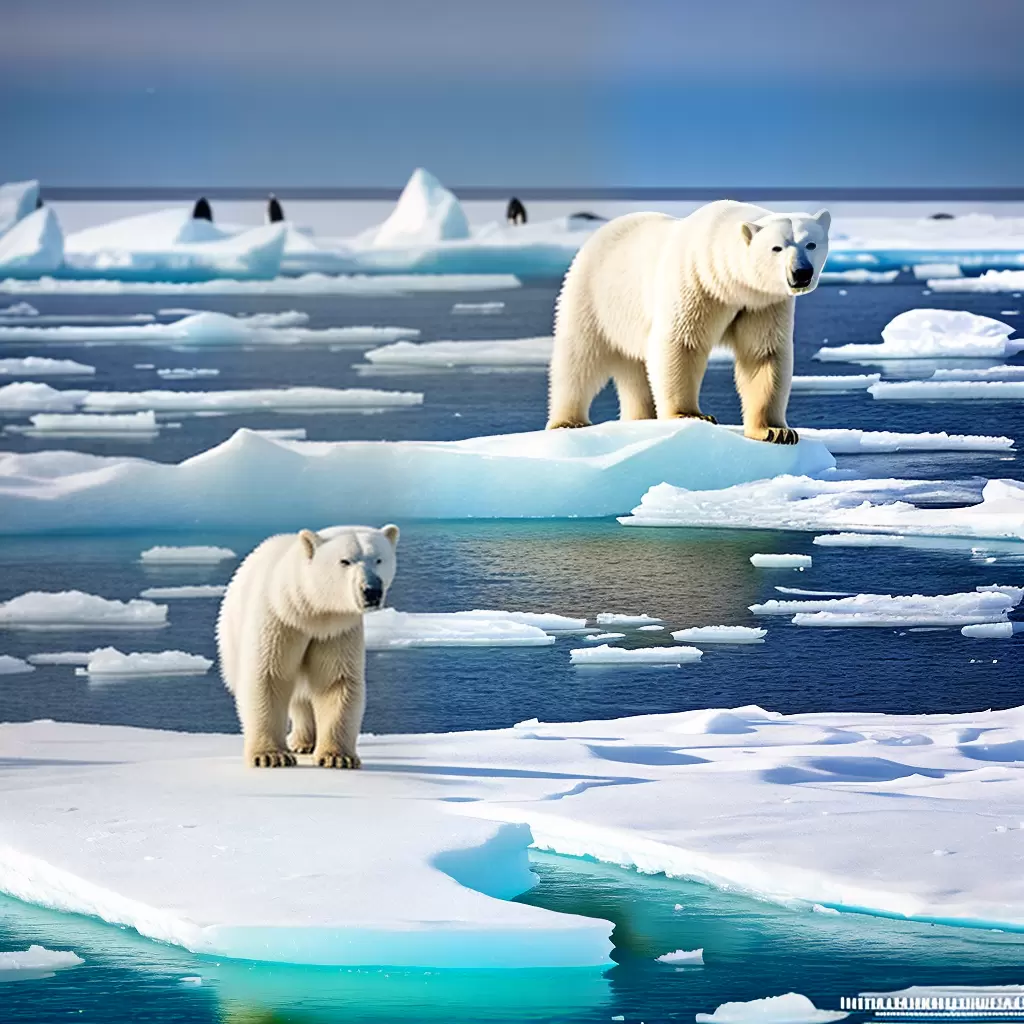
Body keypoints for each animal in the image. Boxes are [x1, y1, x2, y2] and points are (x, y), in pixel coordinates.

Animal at [216, 523, 399, 768]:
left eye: (379, 559)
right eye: (345, 561)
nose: (371, 590)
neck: (307, 613)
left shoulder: (337, 631)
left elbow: (336, 681)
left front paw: (338, 757)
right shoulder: (278, 621)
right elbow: (269, 677)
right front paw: (270, 755)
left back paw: (306, 742)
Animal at [546, 200, 830, 444]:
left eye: (811, 244)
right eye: (777, 248)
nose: (801, 273)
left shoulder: (762, 304)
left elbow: (764, 353)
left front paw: (776, 431)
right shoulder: (695, 284)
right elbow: (682, 343)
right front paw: (689, 415)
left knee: (634, 370)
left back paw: (641, 418)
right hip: (593, 297)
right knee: (579, 358)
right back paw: (568, 421)